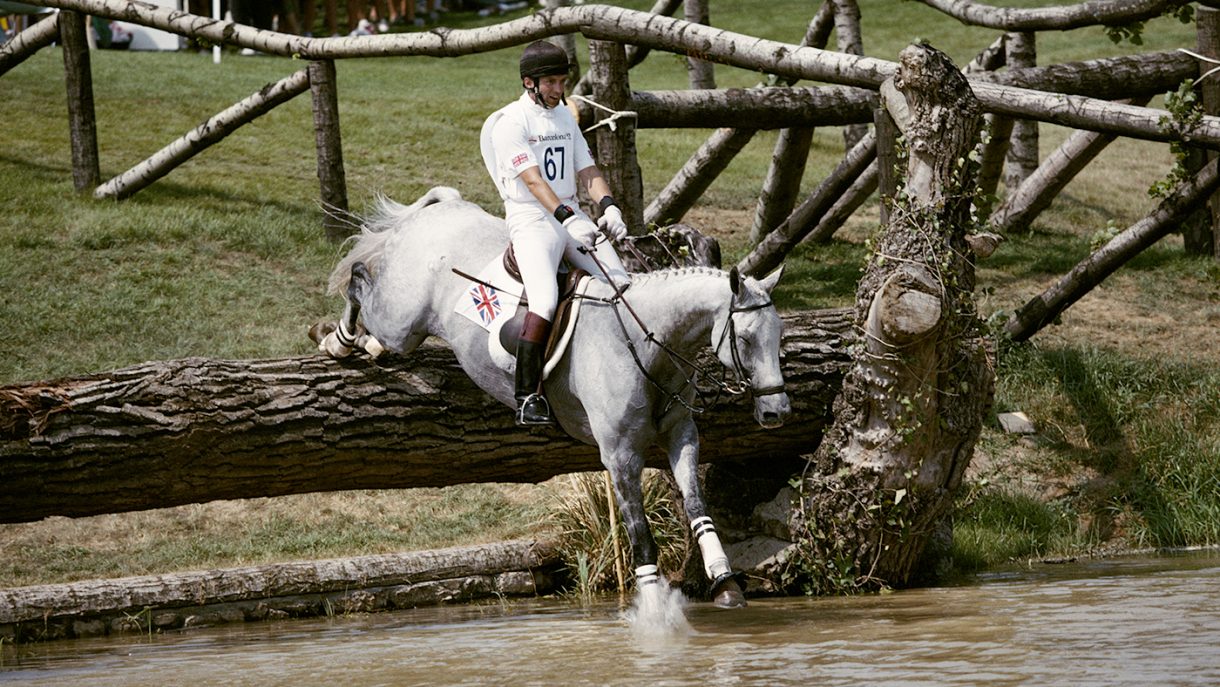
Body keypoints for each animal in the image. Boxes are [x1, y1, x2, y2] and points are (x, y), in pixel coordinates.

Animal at [317, 186, 790, 610]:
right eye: (746, 339)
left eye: (778, 336)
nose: (776, 412)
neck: (647, 343)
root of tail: (445, 208)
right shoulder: (619, 453)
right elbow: (639, 529)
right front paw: (655, 607)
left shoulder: (681, 434)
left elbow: (697, 507)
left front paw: (725, 583)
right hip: (403, 319)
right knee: (359, 277)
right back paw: (337, 340)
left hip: (405, 327)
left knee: (373, 310)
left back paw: (363, 344)